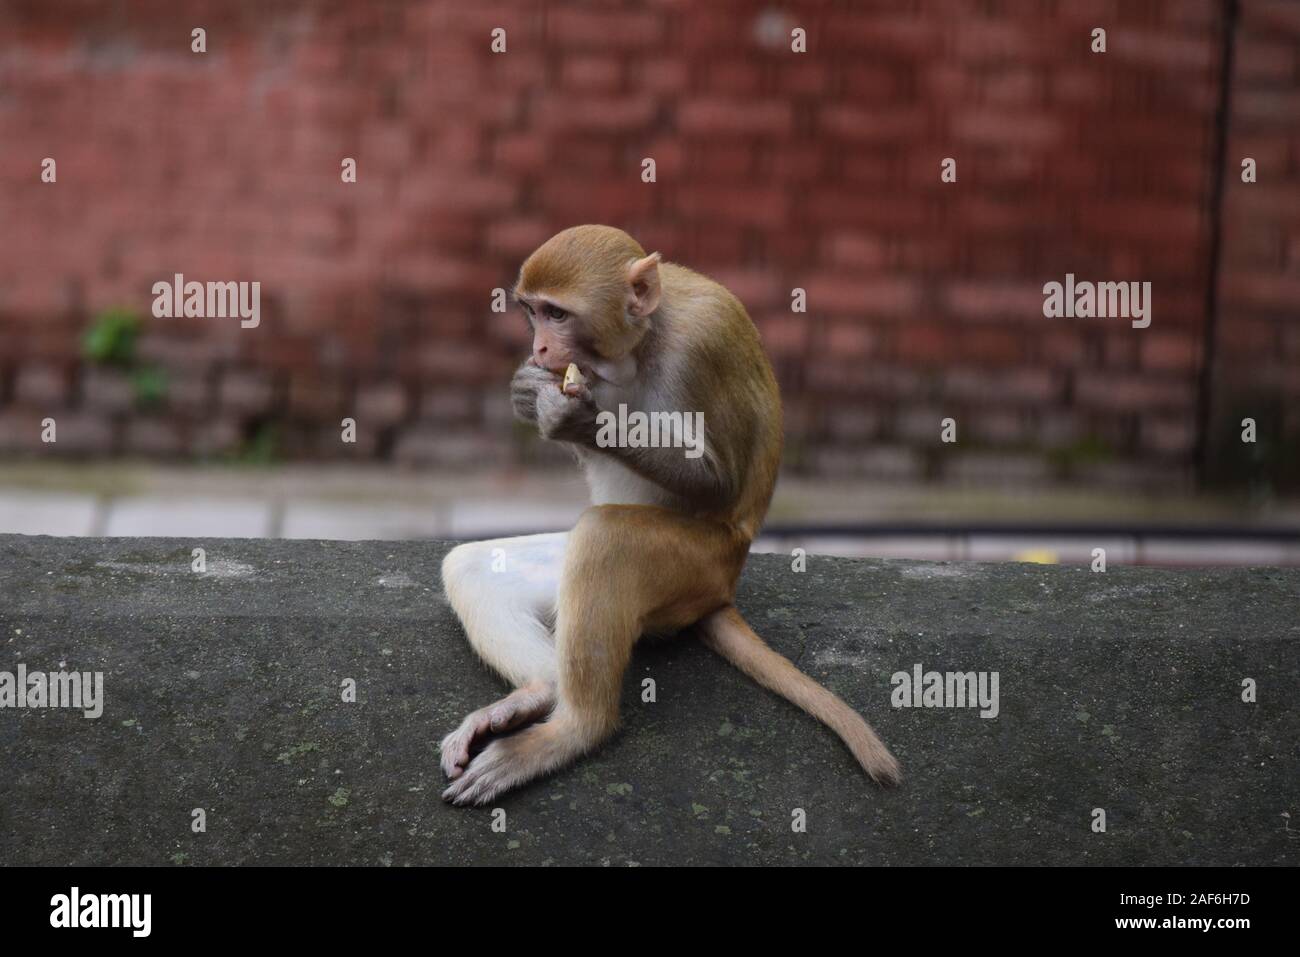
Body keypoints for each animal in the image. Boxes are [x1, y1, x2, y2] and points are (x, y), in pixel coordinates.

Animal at [439, 224, 900, 806]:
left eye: (558, 314)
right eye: (533, 313)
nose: (540, 347)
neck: (641, 341)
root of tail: (724, 587)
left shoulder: (700, 348)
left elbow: (718, 478)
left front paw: (575, 419)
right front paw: (527, 391)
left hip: (695, 567)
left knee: (607, 537)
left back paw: (573, 732)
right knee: (472, 566)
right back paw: (538, 692)